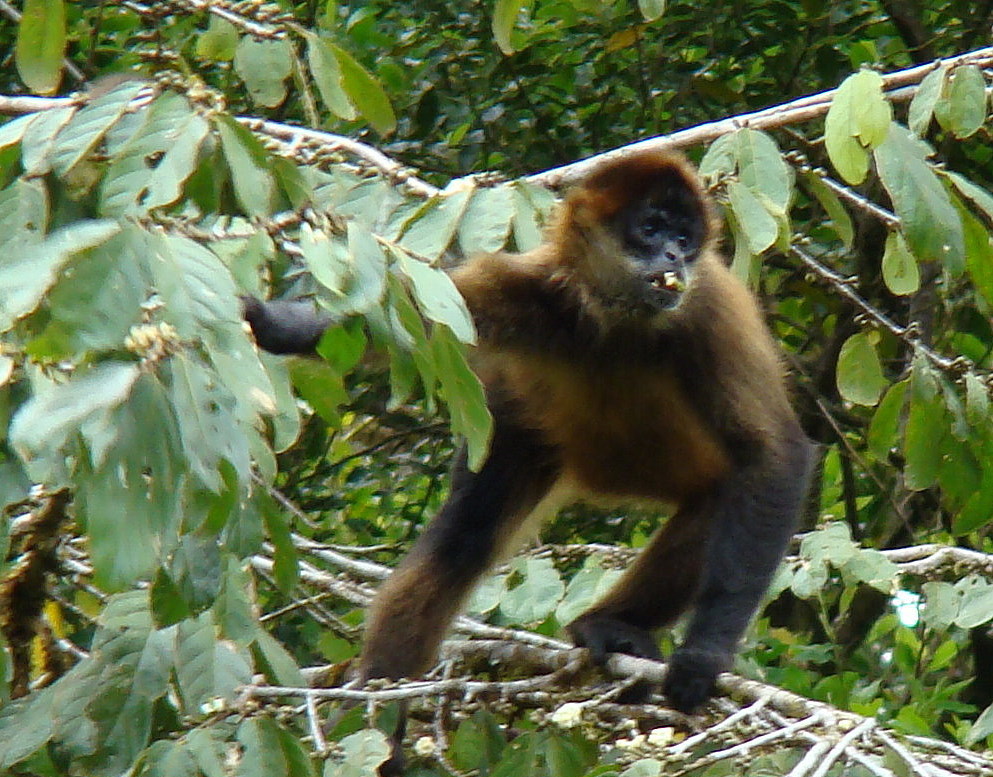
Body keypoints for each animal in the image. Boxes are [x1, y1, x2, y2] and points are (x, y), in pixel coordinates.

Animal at [243, 150, 814, 769]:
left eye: (685, 240)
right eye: (651, 229)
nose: (673, 257)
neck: (618, 321)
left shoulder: (708, 309)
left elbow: (775, 456)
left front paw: (704, 656)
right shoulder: (534, 285)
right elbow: (410, 322)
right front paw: (279, 324)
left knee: (718, 495)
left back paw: (605, 624)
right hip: (528, 432)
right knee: (466, 535)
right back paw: (379, 704)